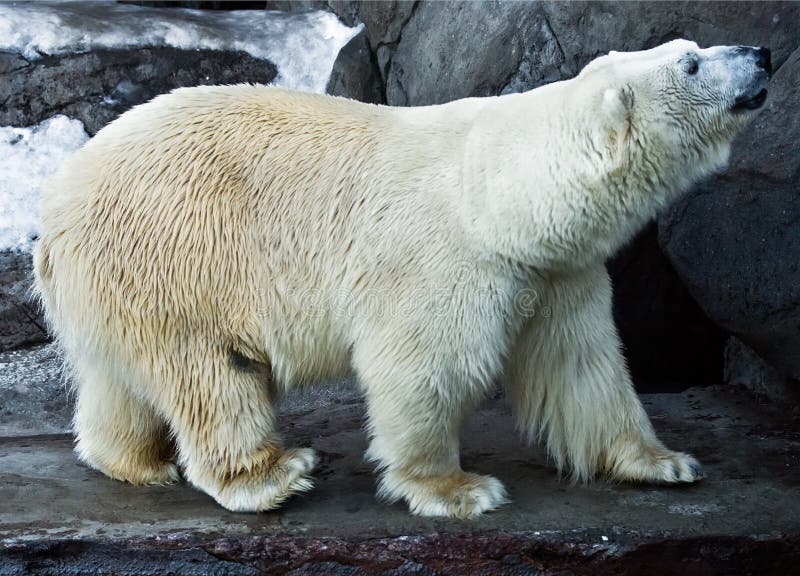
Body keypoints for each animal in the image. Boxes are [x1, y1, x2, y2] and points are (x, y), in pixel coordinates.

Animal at [34, 39, 771, 518]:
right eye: (692, 63)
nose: (762, 52)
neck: (498, 196)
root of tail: (59, 199)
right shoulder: (444, 260)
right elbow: (426, 367)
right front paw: (458, 489)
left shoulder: (557, 271)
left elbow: (582, 366)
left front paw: (664, 463)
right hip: (179, 255)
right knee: (213, 372)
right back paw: (274, 474)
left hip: (120, 280)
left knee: (121, 379)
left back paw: (135, 460)